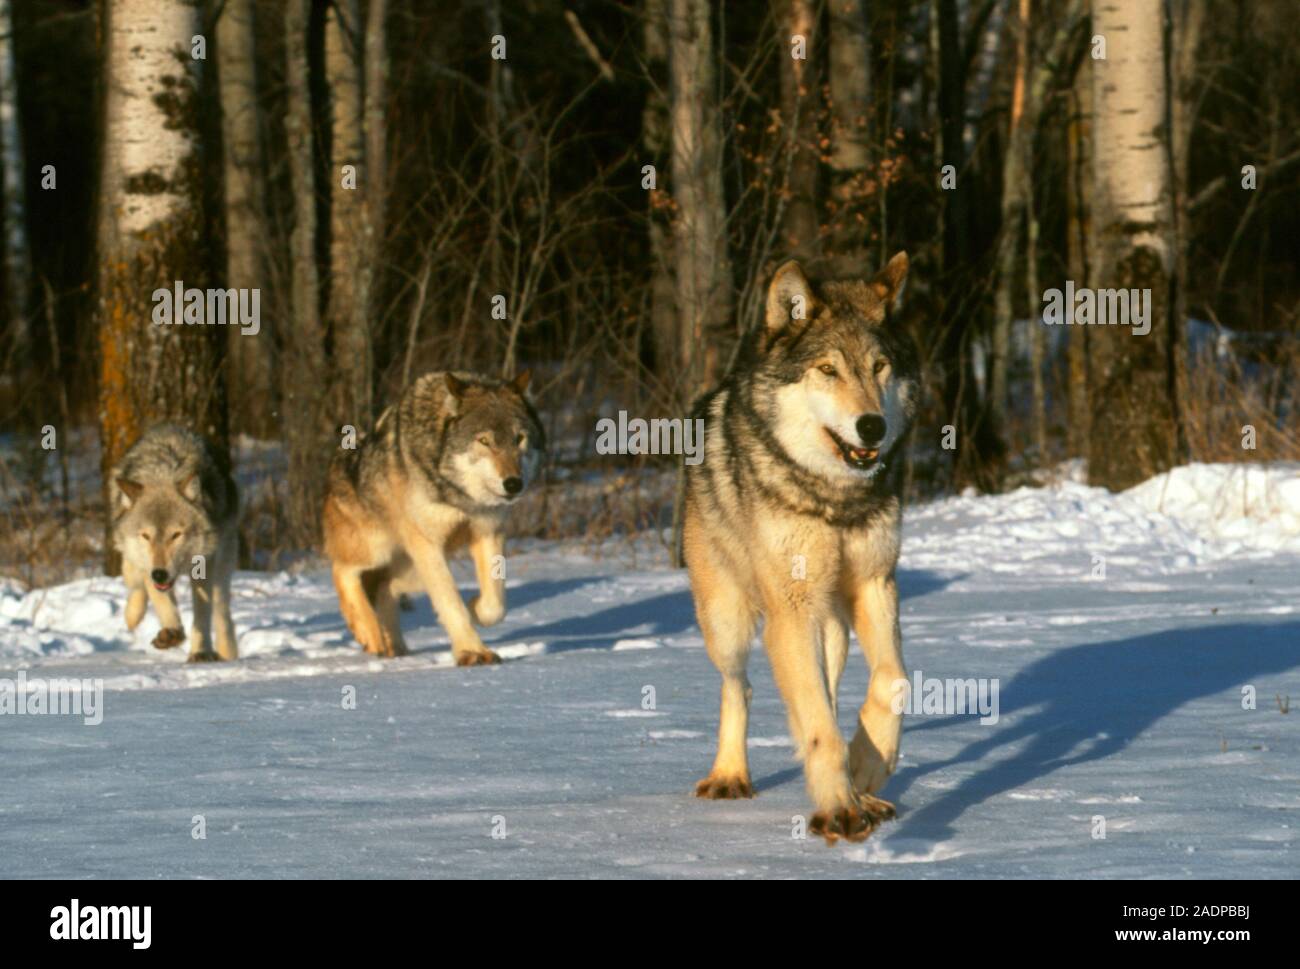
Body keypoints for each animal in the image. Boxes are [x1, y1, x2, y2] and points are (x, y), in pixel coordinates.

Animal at [112, 423, 240, 662]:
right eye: (146, 536)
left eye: (176, 535)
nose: (160, 574)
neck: (162, 474)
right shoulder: (148, 567)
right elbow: (162, 602)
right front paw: (172, 633)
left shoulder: (206, 563)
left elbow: (203, 613)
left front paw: (200, 652)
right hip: (133, 563)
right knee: (135, 582)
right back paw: (132, 616)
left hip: (223, 564)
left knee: (222, 613)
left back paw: (228, 652)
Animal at [322, 370, 544, 664]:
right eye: (484, 441)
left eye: (519, 438)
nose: (513, 484)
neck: (456, 492)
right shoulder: (428, 544)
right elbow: (450, 600)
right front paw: (472, 652)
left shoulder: (488, 532)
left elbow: (495, 605)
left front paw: (475, 609)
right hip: (378, 550)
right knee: (343, 571)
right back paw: (369, 633)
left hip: (411, 568)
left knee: (384, 587)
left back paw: (394, 649)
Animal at [683, 252, 916, 843]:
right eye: (828, 370)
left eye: (880, 367)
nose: (871, 425)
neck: (834, 498)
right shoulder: (790, 611)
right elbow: (817, 725)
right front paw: (838, 808)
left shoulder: (876, 585)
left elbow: (893, 682)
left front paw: (866, 770)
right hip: (728, 621)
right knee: (738, 686)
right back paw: (730, 776)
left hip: (831, 628)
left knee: (830, 691)